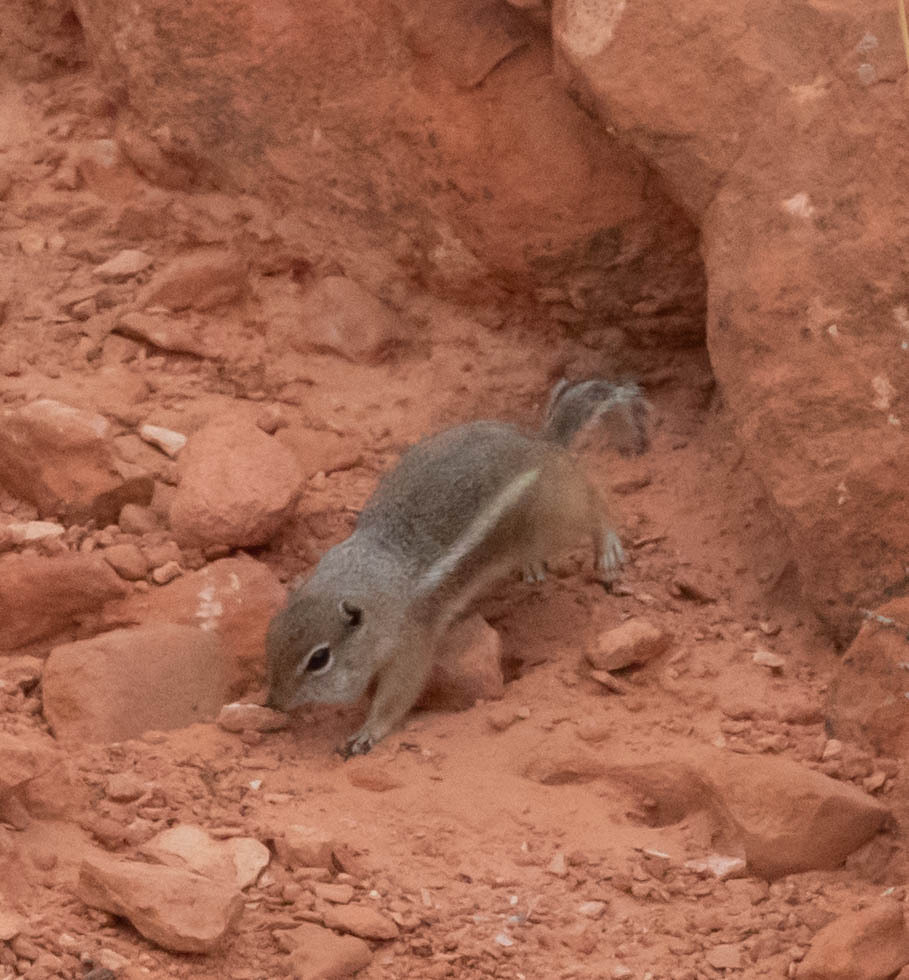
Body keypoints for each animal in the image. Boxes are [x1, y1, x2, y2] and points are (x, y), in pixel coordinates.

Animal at [265, 378, 650, 757]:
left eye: (319, 659)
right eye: (270, 635)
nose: (273, 703)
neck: (371, 583)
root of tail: (544, 442)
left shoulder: (412, 643)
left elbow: (400, 692)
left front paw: (367, 732)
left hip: (556, 520)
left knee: (593, 502)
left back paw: (608, 547)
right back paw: (531, 565)